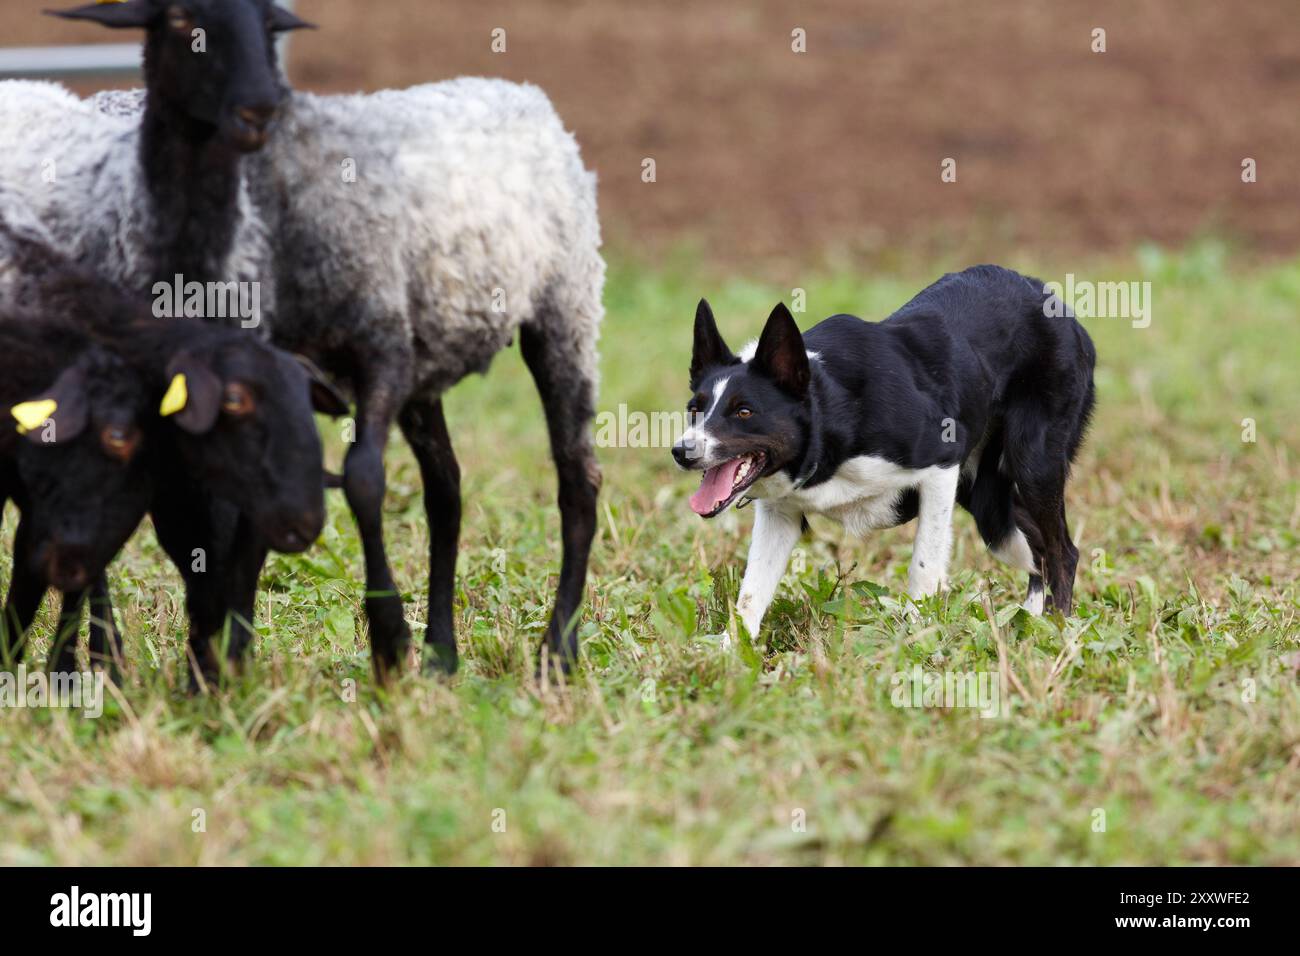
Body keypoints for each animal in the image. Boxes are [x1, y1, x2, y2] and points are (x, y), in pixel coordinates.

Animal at [41, 2, 607, 681]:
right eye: (178, 19)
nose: (258, 108)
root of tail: (525, 94)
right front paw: (222, 659)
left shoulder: (377, 353)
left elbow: (360, 479)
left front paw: (385, 640)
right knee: (446, 487)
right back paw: (442, 654)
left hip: (564, 310)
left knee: (578, 480)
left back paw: (557, 651)